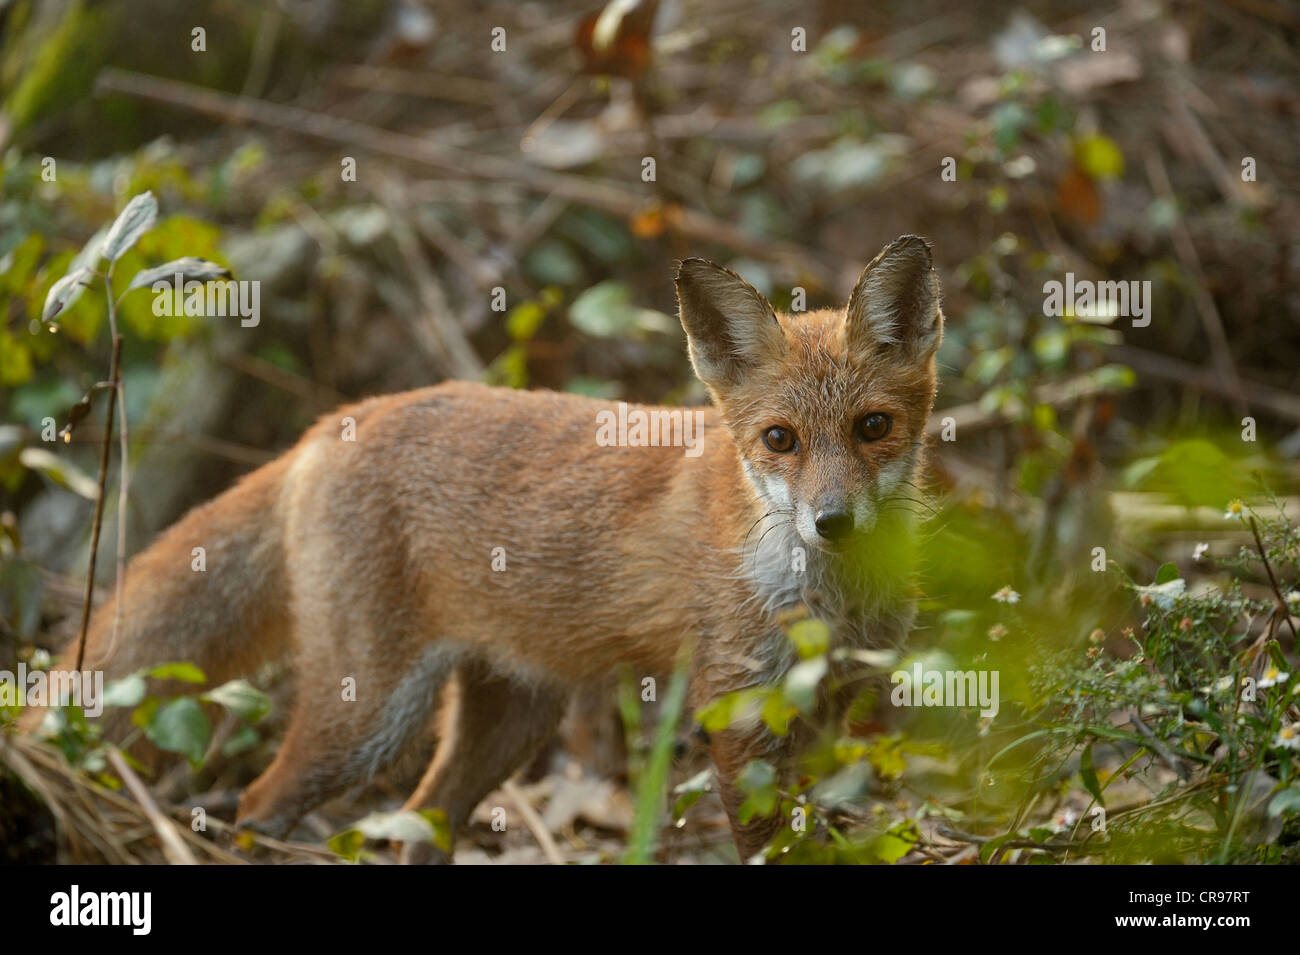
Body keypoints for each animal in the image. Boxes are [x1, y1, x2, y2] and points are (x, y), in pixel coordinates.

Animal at [31, 234, 943, 862]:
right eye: (780, 439)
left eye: (873, 427)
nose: (832, 521)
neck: (829, 597)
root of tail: (335, 419)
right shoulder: (740, 704)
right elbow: (771, 838)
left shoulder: (844, 698)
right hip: (366, 717)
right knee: (261, 801)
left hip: (511, 722)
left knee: (422, 822)